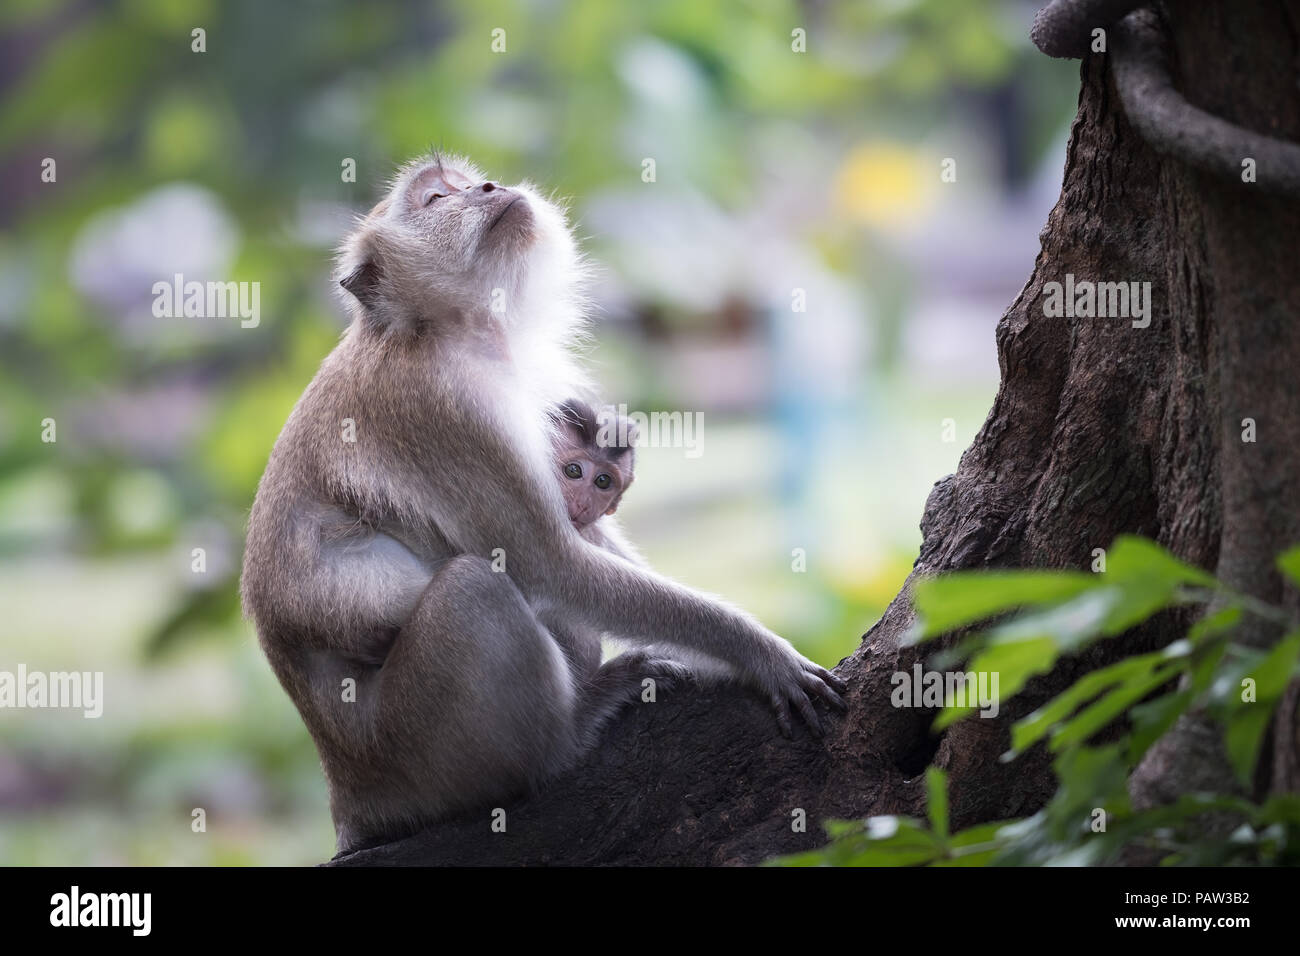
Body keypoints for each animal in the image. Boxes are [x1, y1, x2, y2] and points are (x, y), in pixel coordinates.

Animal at [240, 152, 848, 851]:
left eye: (467, 182)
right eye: (436, 199)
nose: (488, 188)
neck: (439, 329)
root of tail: (349, 792)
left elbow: (581, 538)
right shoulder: (446, 411)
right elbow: (548, 562)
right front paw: (758, 652)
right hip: (418, 746)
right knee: (475, 587)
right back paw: (569, 736)